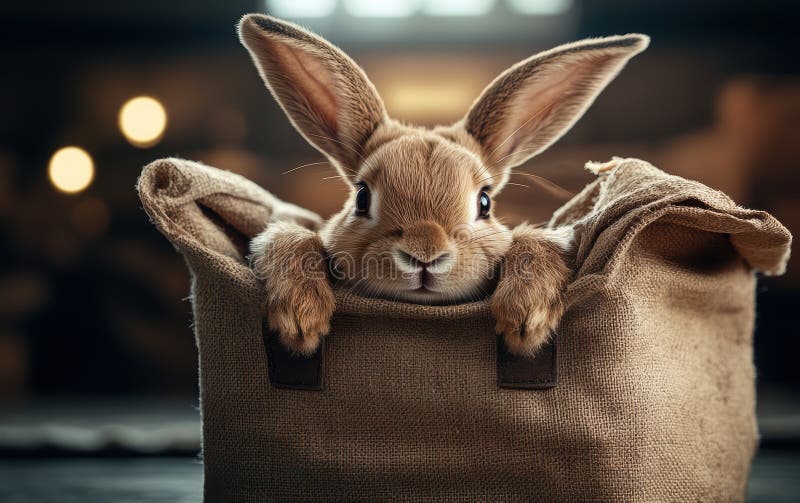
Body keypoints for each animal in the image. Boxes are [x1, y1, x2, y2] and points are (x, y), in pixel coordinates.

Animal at [238, 14, 648, 356]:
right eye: (362, 197)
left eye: (484, 202)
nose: (425, 254)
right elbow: (289, 240)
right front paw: (300, 320)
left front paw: (526, 319)